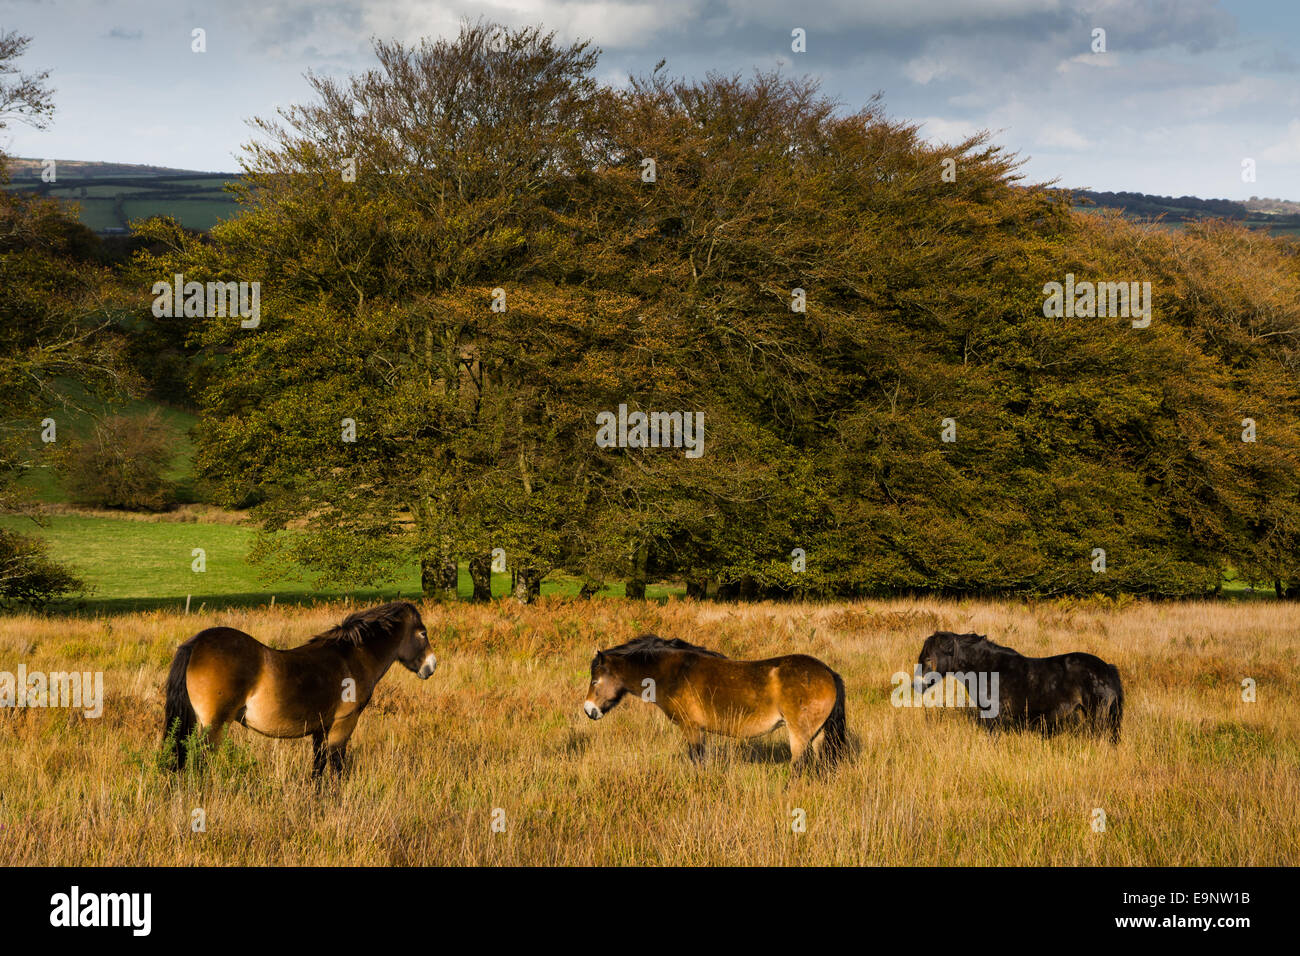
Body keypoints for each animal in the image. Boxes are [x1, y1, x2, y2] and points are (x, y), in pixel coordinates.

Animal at [161, 600, 437, 780]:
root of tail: (196, 643)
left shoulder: (321, 729)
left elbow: (318, 768)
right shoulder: (343, 726)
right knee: (198, 761)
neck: (350, 658)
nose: (431, 666)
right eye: (422, 633)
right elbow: (337, 768)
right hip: (214, 725)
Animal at [583, 635, 847, 773]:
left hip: (800, 734)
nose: (589, 710)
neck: (675, 672)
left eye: (595, 680)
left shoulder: (691, 728)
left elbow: (697, 759)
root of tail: (828, 672)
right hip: (818, 734)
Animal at [914, 631, 1123, 743]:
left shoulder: (993, 717)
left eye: (928, 658)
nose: (916, 685)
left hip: (1099, 714)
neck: (988, 668)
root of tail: (1106, 668)